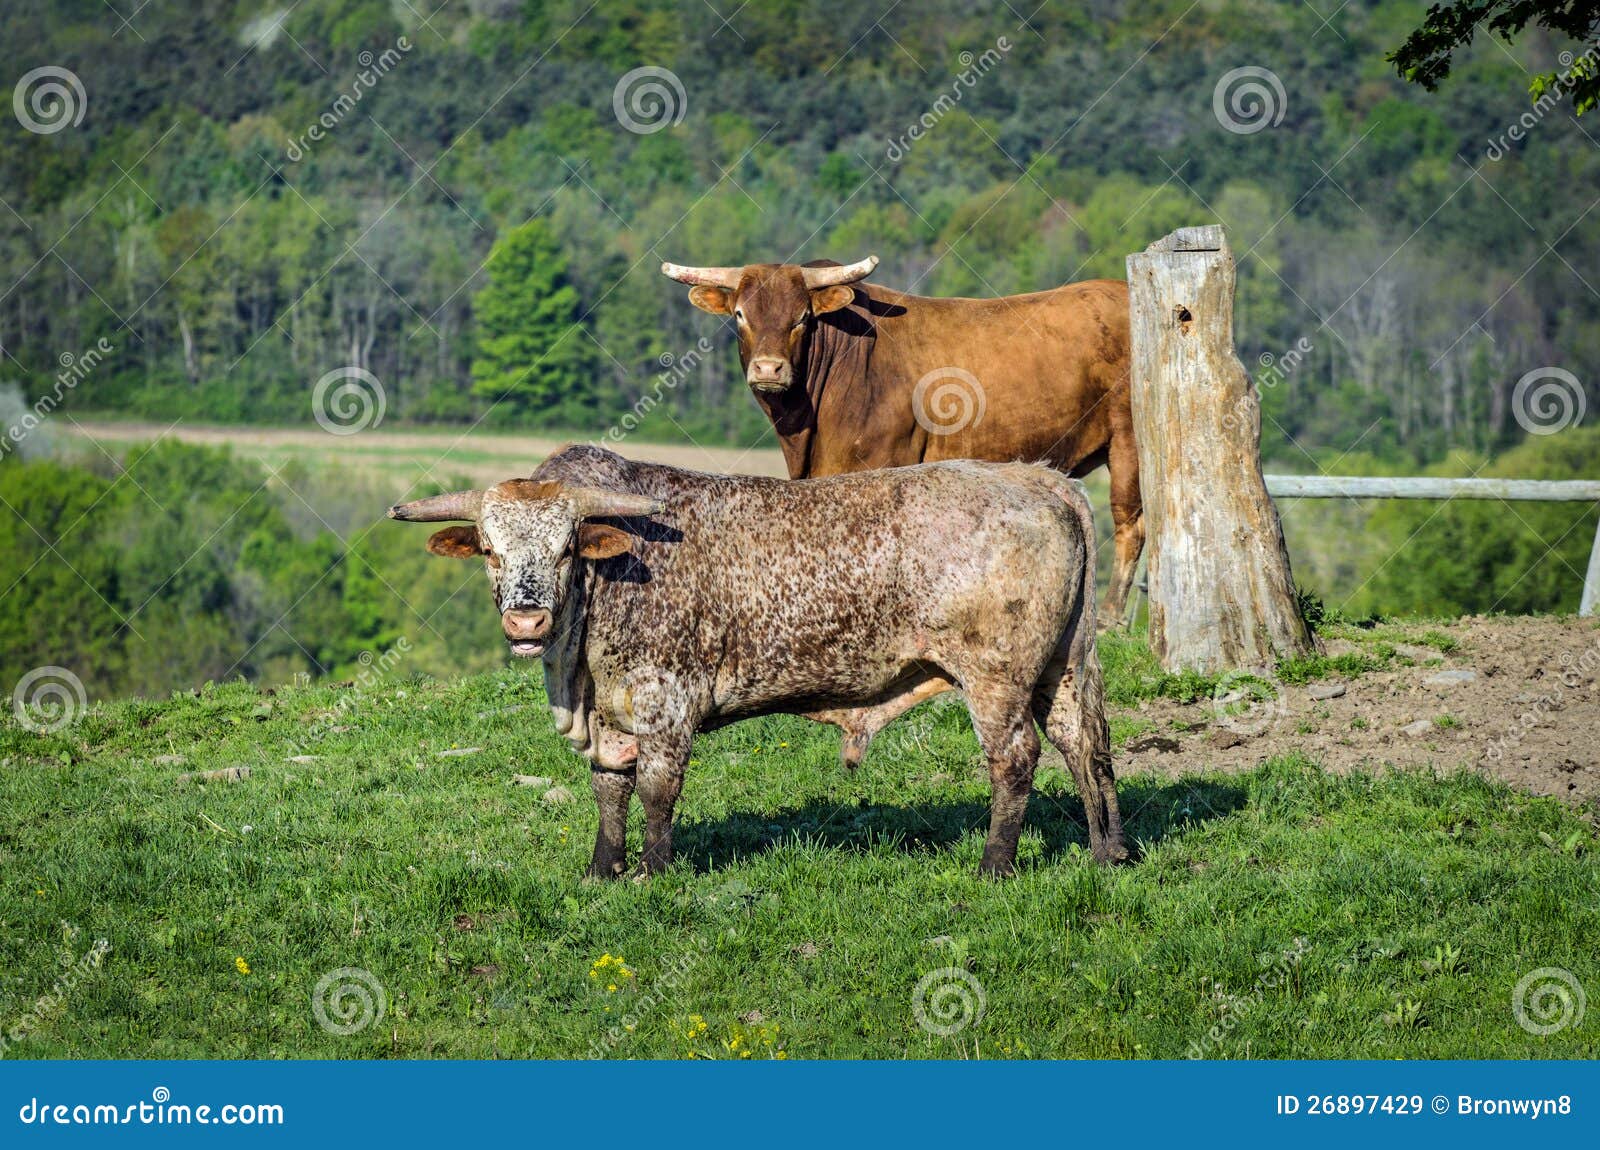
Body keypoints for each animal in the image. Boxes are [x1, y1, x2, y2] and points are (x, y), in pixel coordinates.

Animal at [389, 444, 1127, 880]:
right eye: (490, 549)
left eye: (568, 546)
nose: (526, 620)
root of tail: (1038, 478)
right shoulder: (612, 715)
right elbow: (609, 788)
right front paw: (603, 870)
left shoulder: (666, 705)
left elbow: (656, 791)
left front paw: (655, 873)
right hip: (1061, 666)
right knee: (1085, 744)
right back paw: (1108, 851)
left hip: (996, 676)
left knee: (1017, 758)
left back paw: (994, 866)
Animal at [659, 256, 1144, 621]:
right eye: (741, 315)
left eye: (803, 318)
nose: (768, 368)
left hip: (1128, 440)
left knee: (1131, 525)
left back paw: (1111, 617)